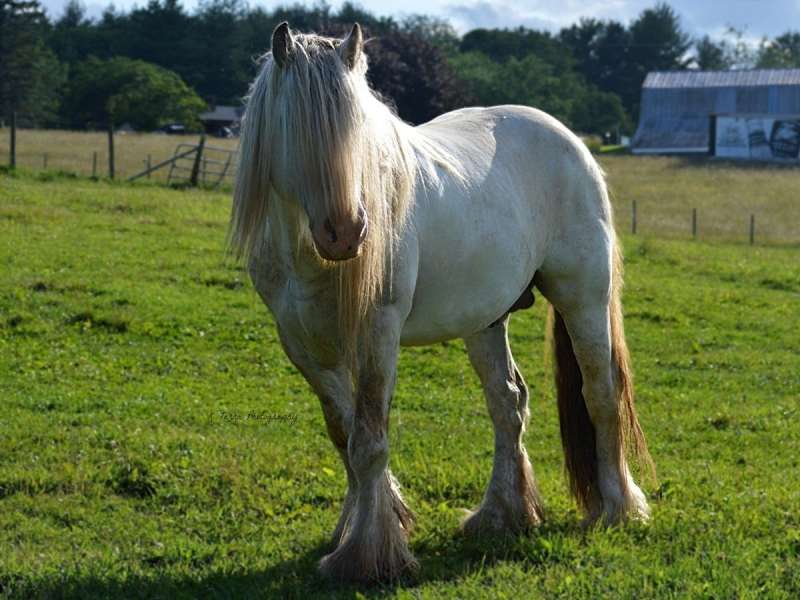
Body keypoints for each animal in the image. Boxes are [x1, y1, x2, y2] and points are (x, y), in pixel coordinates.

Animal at [230, 22, 654, 583]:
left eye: (359, 129)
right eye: (292, 125)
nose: (347, 233)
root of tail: (571, 142)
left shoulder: (378, 334)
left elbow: (369, 441)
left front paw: (368, 555)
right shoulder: (301, 344)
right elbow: (344, 435)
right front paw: (363, 528)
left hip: (582, 297)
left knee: (600, 393)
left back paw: (615, 508)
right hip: (485, 320)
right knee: (508, 405)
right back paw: (501, 515)